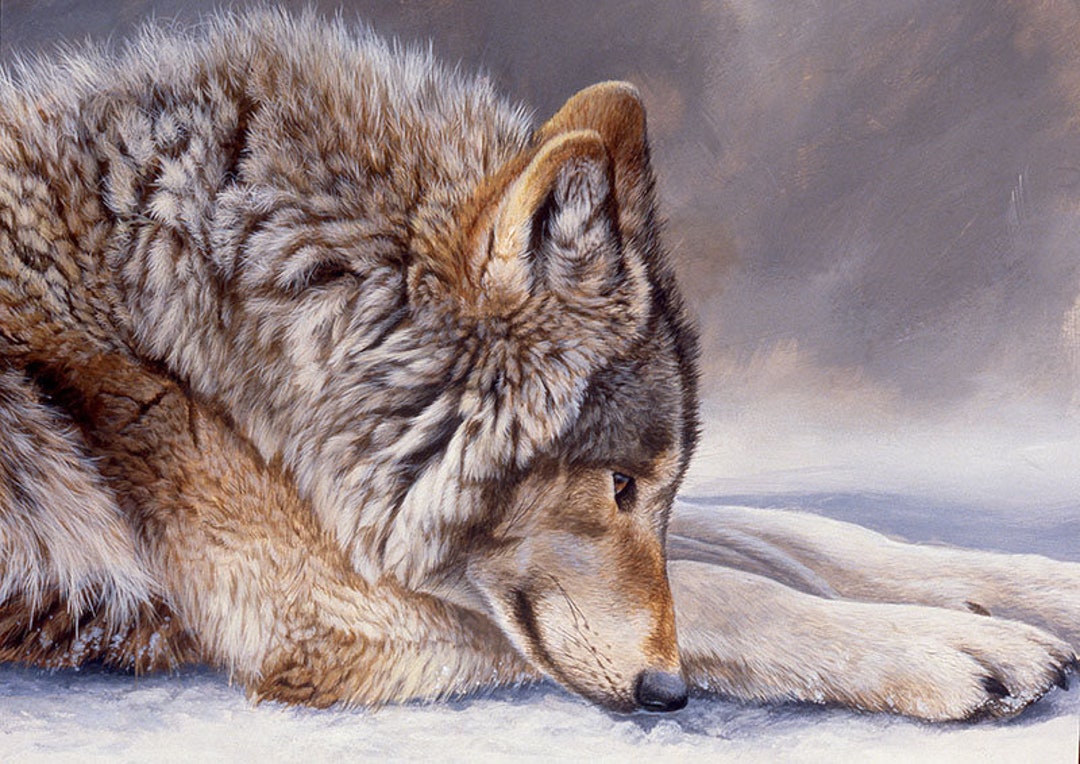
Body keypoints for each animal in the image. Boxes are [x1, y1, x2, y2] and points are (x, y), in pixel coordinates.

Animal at [0, 10, 1076, 721]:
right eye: (617, 485)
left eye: (649, 488)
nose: (665, 692)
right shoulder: (338, 616)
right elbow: (729, 585)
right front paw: (949, 646)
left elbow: (789, 533)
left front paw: (1031, 587)